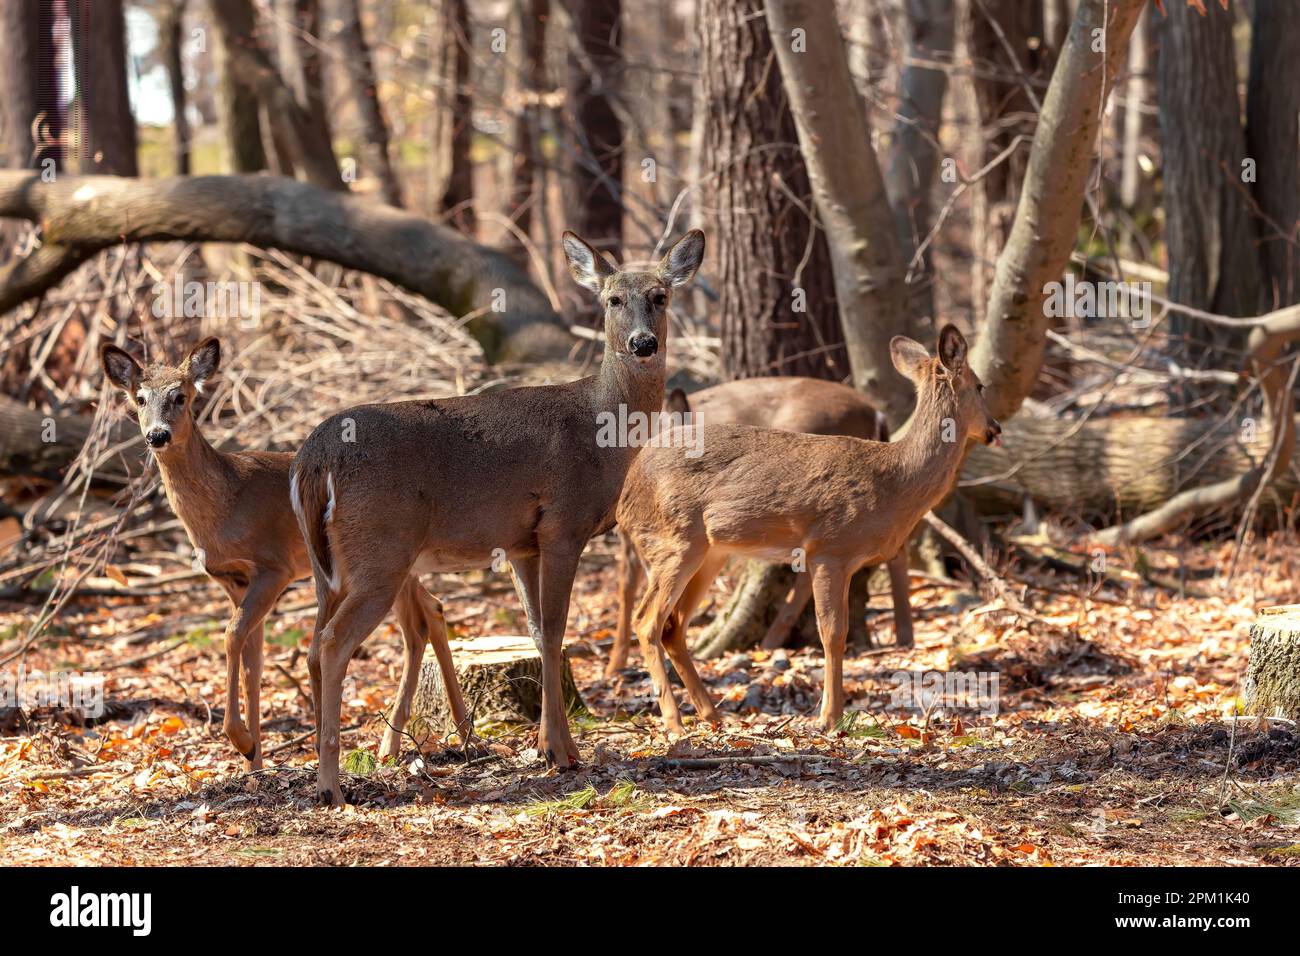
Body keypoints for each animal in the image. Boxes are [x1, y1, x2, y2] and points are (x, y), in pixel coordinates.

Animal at [99, 338, 468, 772]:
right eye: (139, 398)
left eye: (180, 396)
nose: (157, 435)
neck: (226, 504)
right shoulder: (232, 580)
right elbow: (251, 662)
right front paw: (252, 762)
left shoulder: (273, 567)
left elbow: (231, 635)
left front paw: (242, 740)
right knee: (430, 611)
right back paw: (441, 735)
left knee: (418, 621)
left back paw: (412, 741)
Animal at [290, 229, 706, 805]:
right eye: (612, 300)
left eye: (660, 296)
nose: (642, 343)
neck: (604, 430)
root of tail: (313, 457)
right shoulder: (563, 522)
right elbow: (556, 628)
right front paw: (560, 753)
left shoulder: (521, 543)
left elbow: (536, 632)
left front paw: (555, 746)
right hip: (379, 550)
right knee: (332, 643)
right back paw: (332, 786)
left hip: (326, 564)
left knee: (312, 644)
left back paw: (320, 768)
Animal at [606, 377, 914, 678]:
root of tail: (875, 413)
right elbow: (625, 585)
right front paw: (615, 664)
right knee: (895, 546)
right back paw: (904, 636)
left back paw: (773, 640)